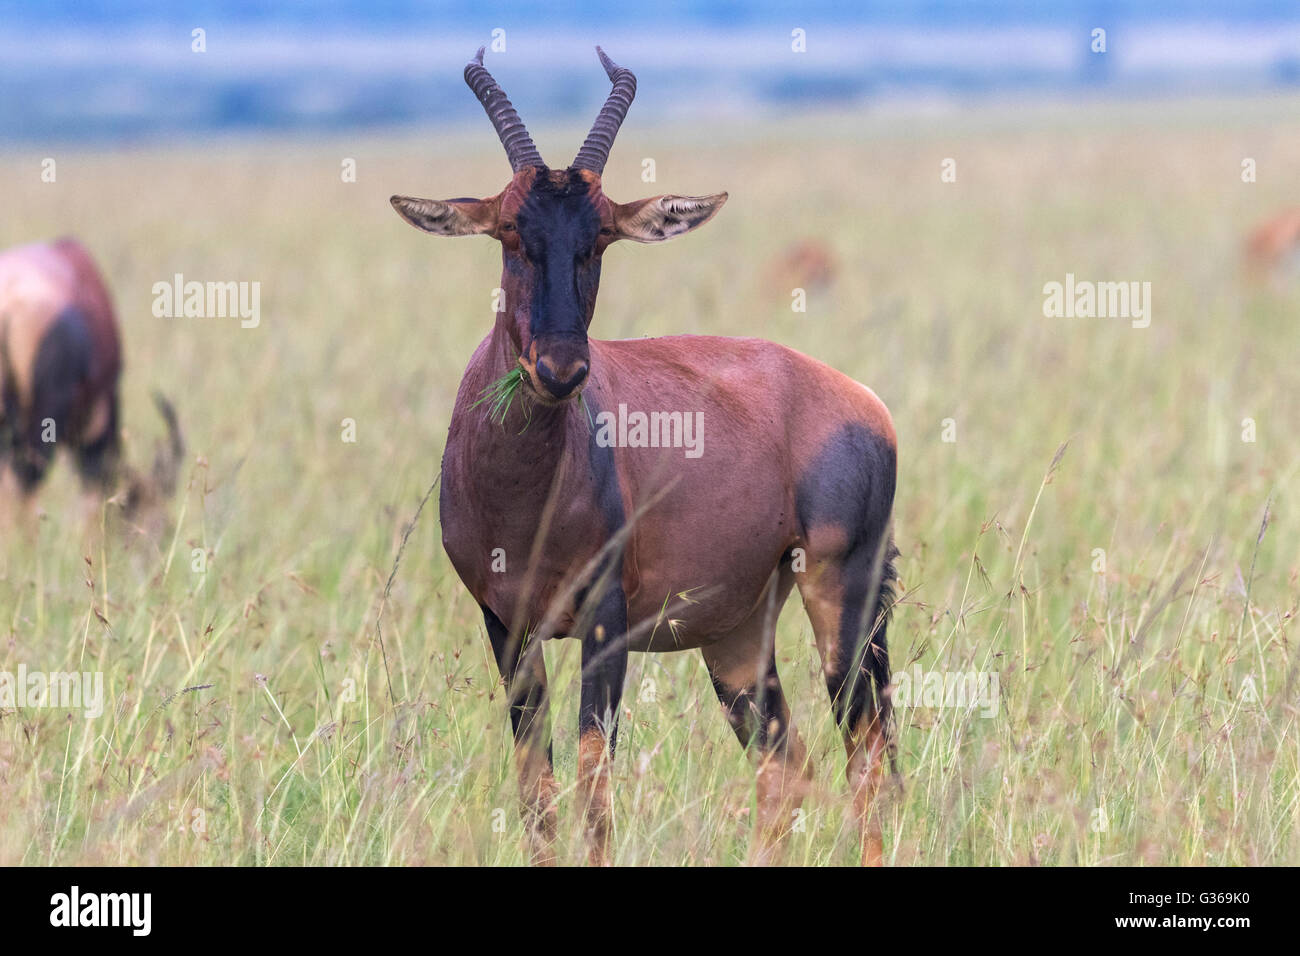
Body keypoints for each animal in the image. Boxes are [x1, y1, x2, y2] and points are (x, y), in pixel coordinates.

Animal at [391, 48, 899, 865]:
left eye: (600, 236)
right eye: (510, 233)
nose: (563, 369)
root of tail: (858, 397)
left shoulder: (606, 620)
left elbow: (594, 782)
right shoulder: (505, 624)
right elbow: (536, 788)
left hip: (841, 593)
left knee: (868, 758)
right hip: (736, 633)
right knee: (788, 764)